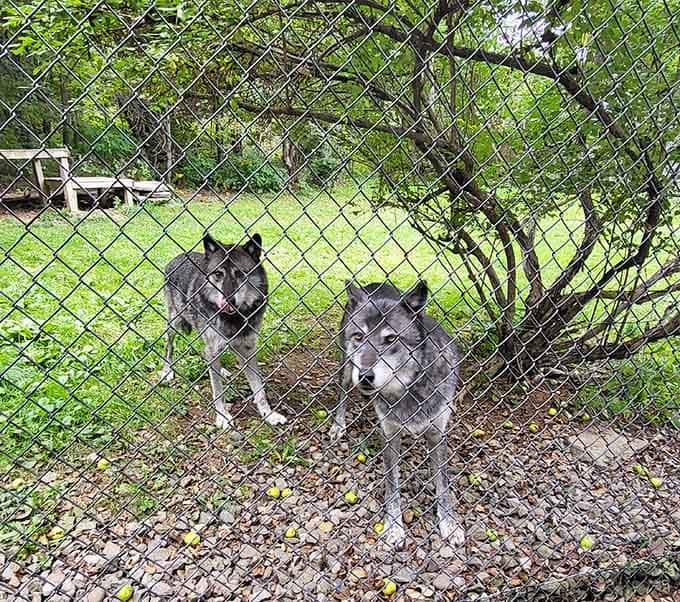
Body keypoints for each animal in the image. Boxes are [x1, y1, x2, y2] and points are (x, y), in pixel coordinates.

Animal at [160, 232, 286, 428]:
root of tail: (179, 256)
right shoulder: (213, 348)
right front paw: (223, 417)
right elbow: (217, 389)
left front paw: (269, 414)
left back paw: (223, 371)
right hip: (174, 323)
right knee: (169, 346)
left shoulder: (247, 350)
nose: (228, 301)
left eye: (240, 273)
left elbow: (259, 389)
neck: (235, 319)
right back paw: (167, 371)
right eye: (218, 274)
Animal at [331, 280, 463, 548]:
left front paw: (449, 523)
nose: (365, 376)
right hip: (346, 367)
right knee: (342, 393)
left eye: (390, 338)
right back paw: (338, 424)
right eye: (359, 336)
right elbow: (392, 485)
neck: (409, 390)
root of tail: (374, 283)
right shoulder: (389, 435)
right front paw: (393, 527)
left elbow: (443, 484)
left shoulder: (438, 434)